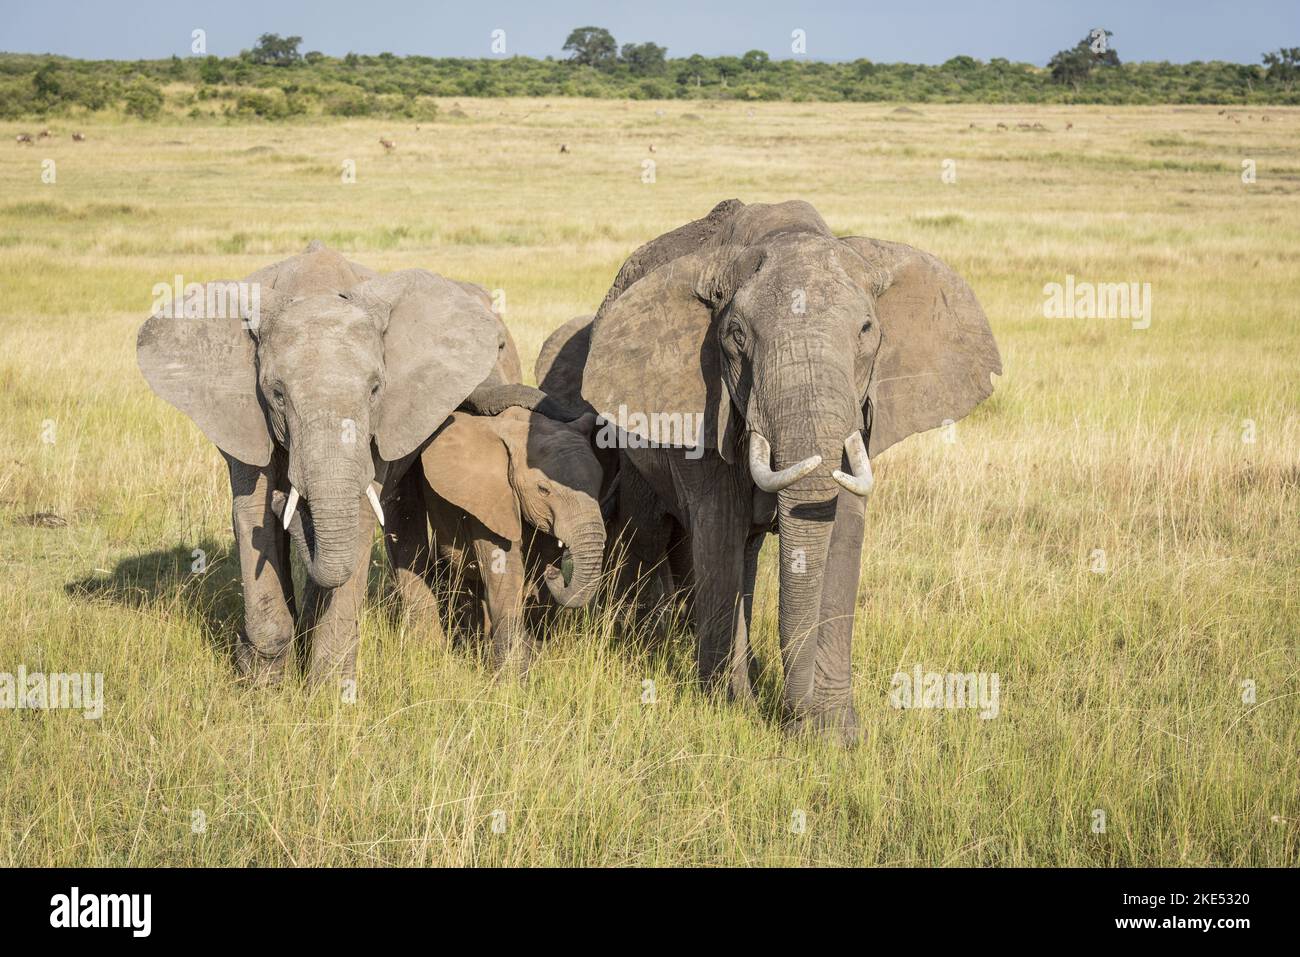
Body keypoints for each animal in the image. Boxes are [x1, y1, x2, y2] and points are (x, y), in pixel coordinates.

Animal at [136, 241, 503, 687]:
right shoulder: (249, 418)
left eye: (376, 389)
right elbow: (251, 513)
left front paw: (329, 692)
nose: (289, 502)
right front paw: (265, 686)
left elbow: (359, 518)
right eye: (277, 394)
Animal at [562, 199, 1002, 744]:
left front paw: (833, 737)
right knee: (650, 531)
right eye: (736, 336)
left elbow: (841, 531)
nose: (793, 719)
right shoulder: (706, 401)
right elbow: (719, 533)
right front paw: (732, 710)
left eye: (866, 331)